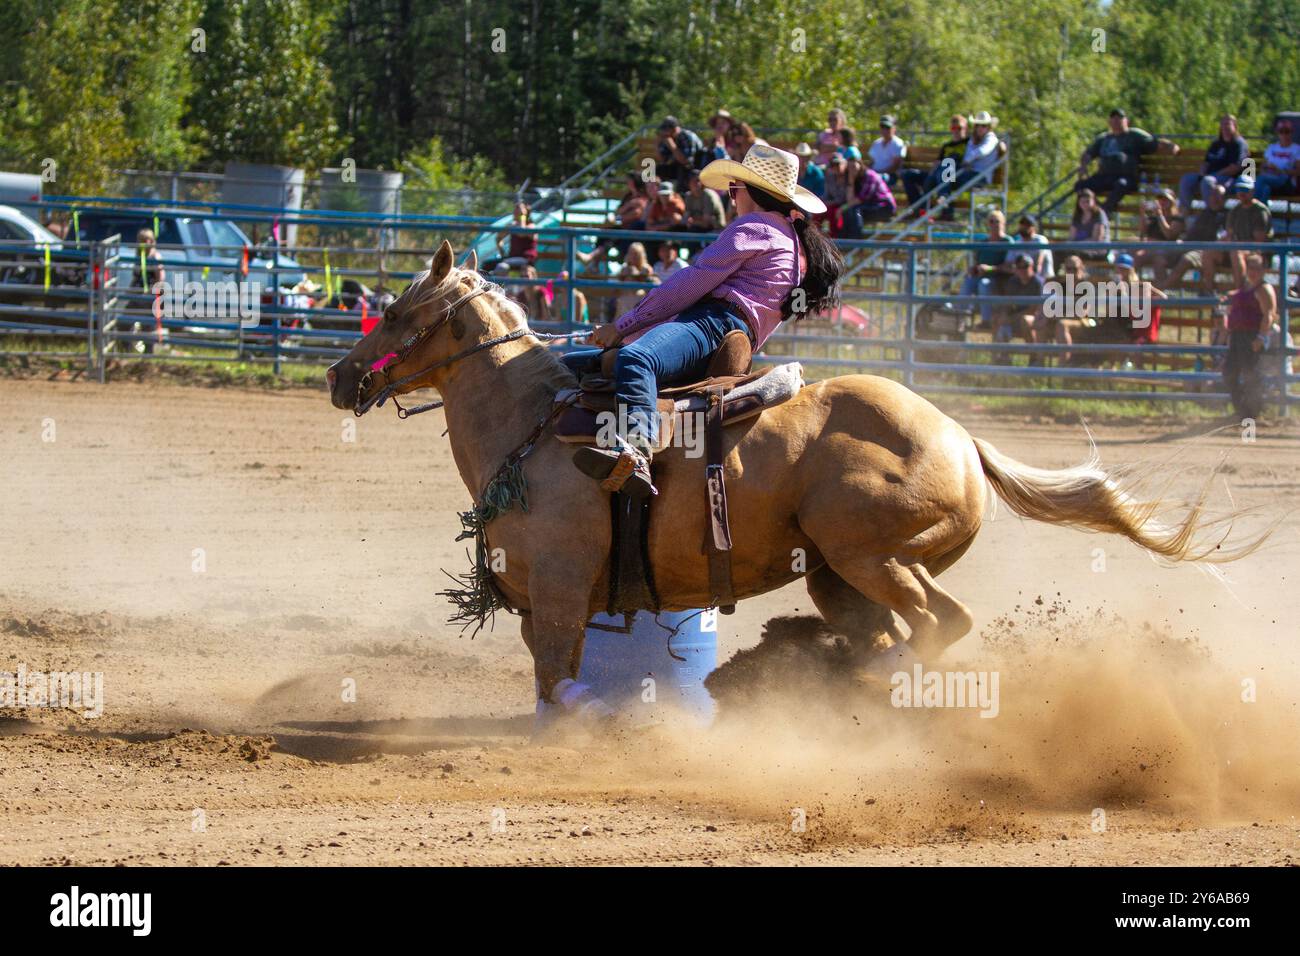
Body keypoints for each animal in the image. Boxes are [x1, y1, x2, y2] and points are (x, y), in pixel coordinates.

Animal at [326, 240, 1252, 721]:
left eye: (400, 312)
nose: (341, 377)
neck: (534, 424)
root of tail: (960, 437)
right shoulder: (541, 604)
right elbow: (549, 683)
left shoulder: (556, 593)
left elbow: (561, 682)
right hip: (838, 575)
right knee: (890, 630)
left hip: (877, 553)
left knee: (940, 623)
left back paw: (862, 686)